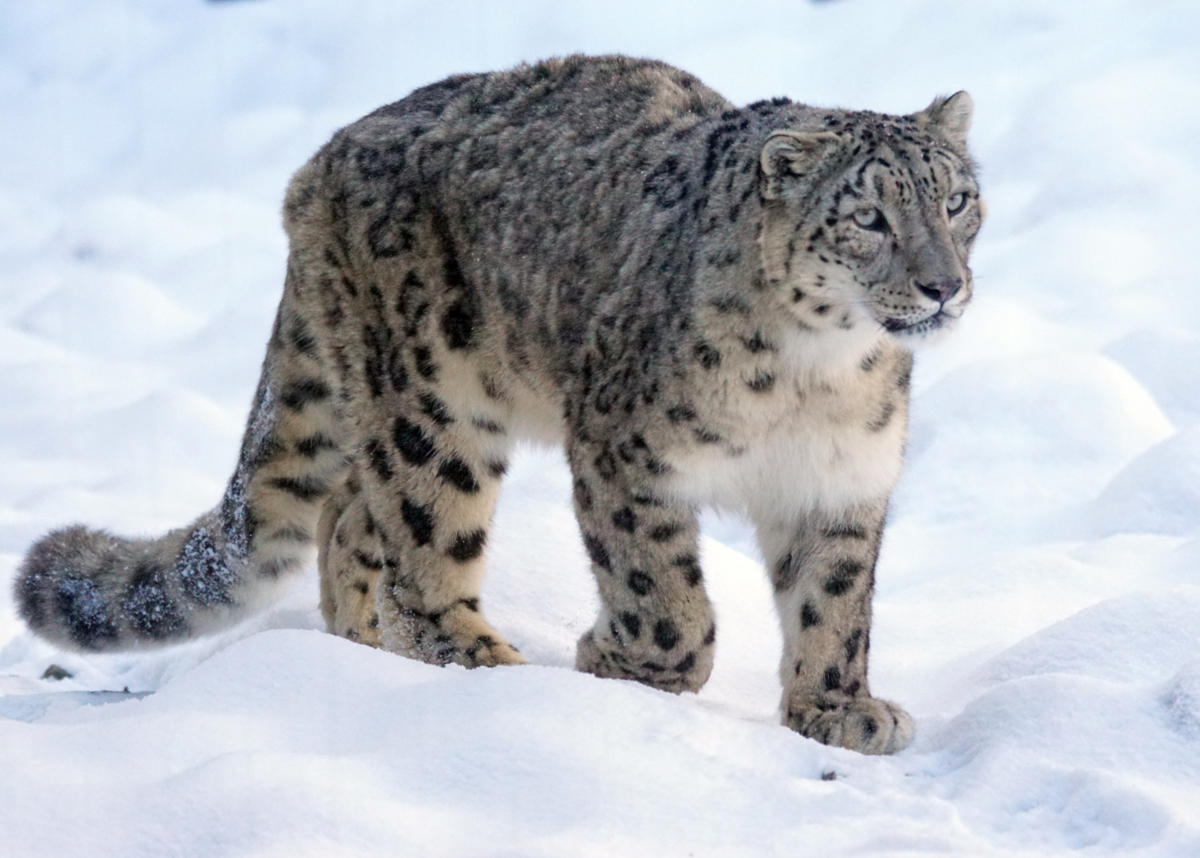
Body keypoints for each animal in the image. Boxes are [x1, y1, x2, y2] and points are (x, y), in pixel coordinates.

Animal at [14, 53, 979, 753]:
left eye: (958, 199)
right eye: (869, 217)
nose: (944, 285)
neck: (820, 373)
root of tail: (320, 163)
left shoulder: (841, 481)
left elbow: (835, 603)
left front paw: (838, 709)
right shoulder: (627, 456)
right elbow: (664, 595)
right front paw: (622, 663)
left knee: (348, 515)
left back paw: (360, 650)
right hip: (432, 405)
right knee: (418, 541)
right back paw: (480, 663)